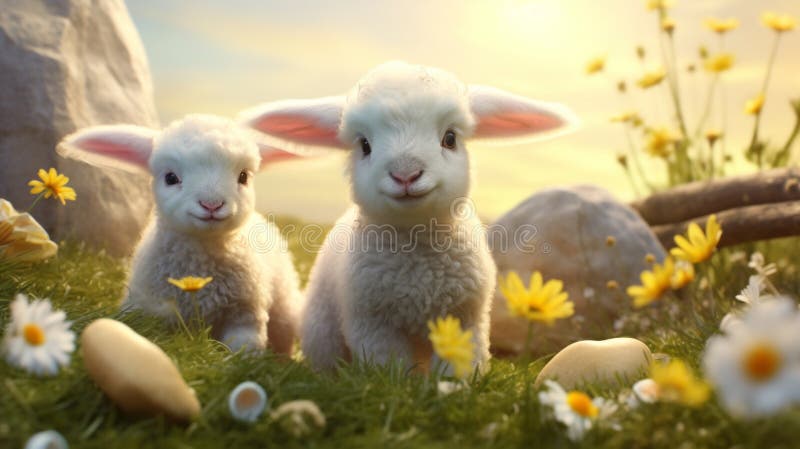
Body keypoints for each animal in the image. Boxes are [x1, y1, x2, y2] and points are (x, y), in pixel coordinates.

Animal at [57, 114, 303, 353]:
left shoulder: (245, 315)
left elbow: (244, 348)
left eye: (243, 177)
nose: (212, 204)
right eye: (171, 178)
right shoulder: (147, 306)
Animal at [240, 61, 578, 371]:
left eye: (450, 138)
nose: (405, 173)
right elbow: (393, 370)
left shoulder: (464, 321)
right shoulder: (374, 326)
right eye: (364, 145)